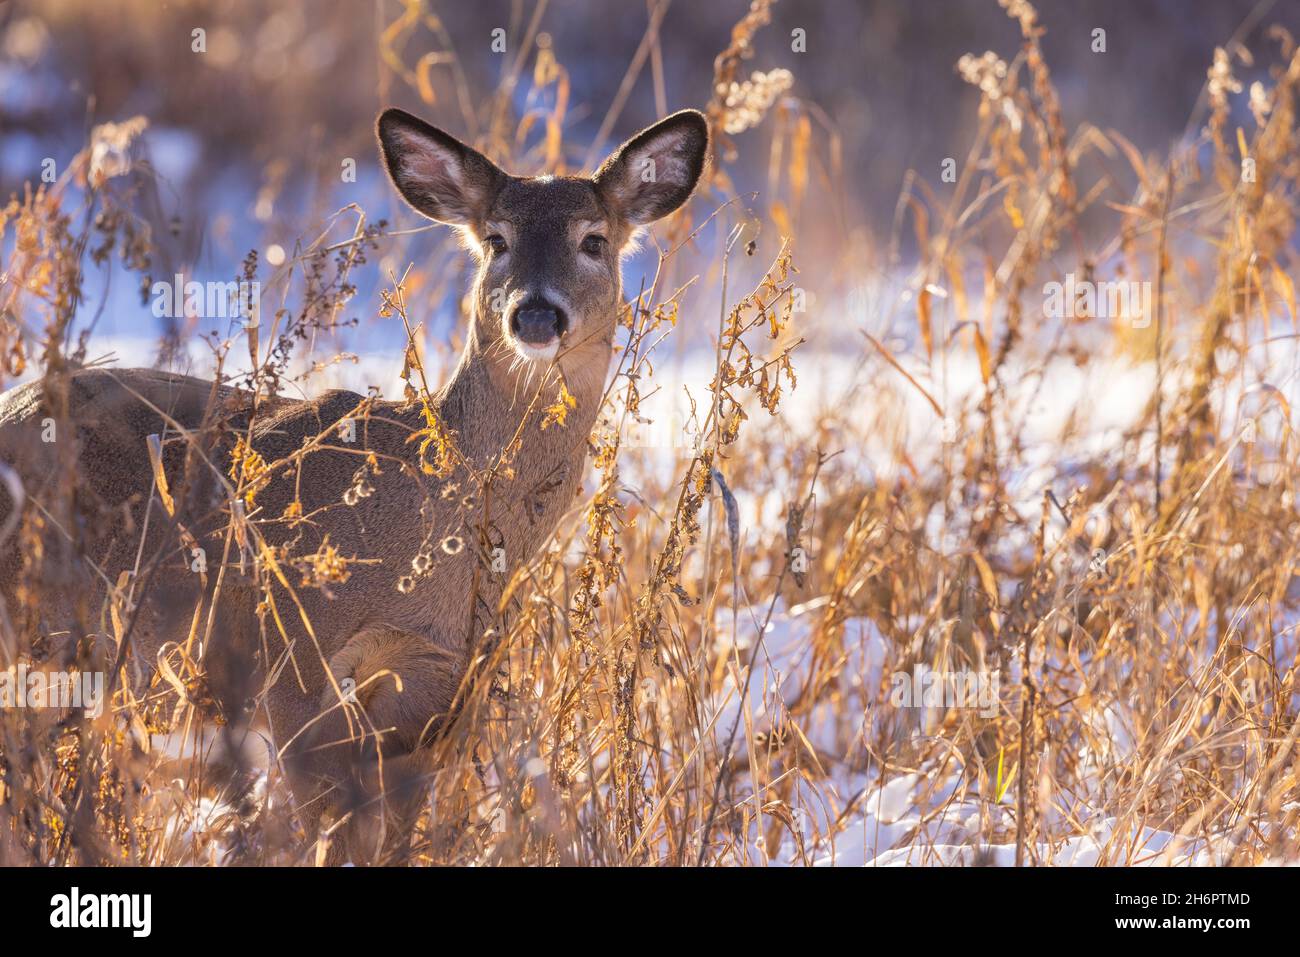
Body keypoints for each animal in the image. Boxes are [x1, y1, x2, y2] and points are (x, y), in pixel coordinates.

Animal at [0, 106, 709, 863]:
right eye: (497, 240)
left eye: (593, 240)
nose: (536, 315)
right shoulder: (287, 644)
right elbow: (319, 824)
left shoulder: (441, 682)